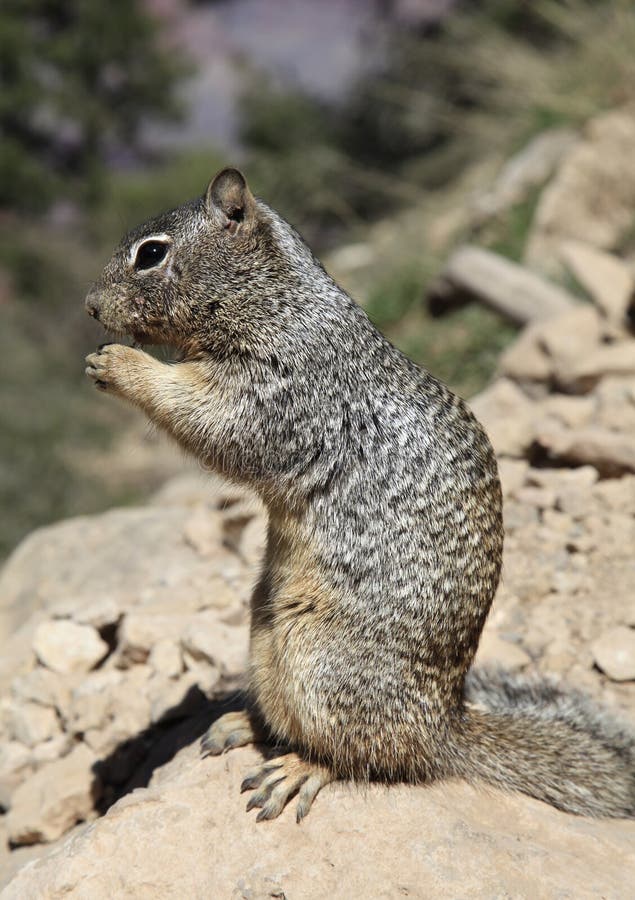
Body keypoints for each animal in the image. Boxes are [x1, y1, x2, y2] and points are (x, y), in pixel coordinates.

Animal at [85, 167, 635, 823]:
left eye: (152, 253)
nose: (90, 306)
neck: (278, 299)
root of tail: (441, 729)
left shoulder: (280, 389)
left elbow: (214, 422)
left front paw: (119, 364)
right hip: (265, 638)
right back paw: (243, 725)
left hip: (317, 662)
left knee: (360, 756)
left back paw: (297, 771)